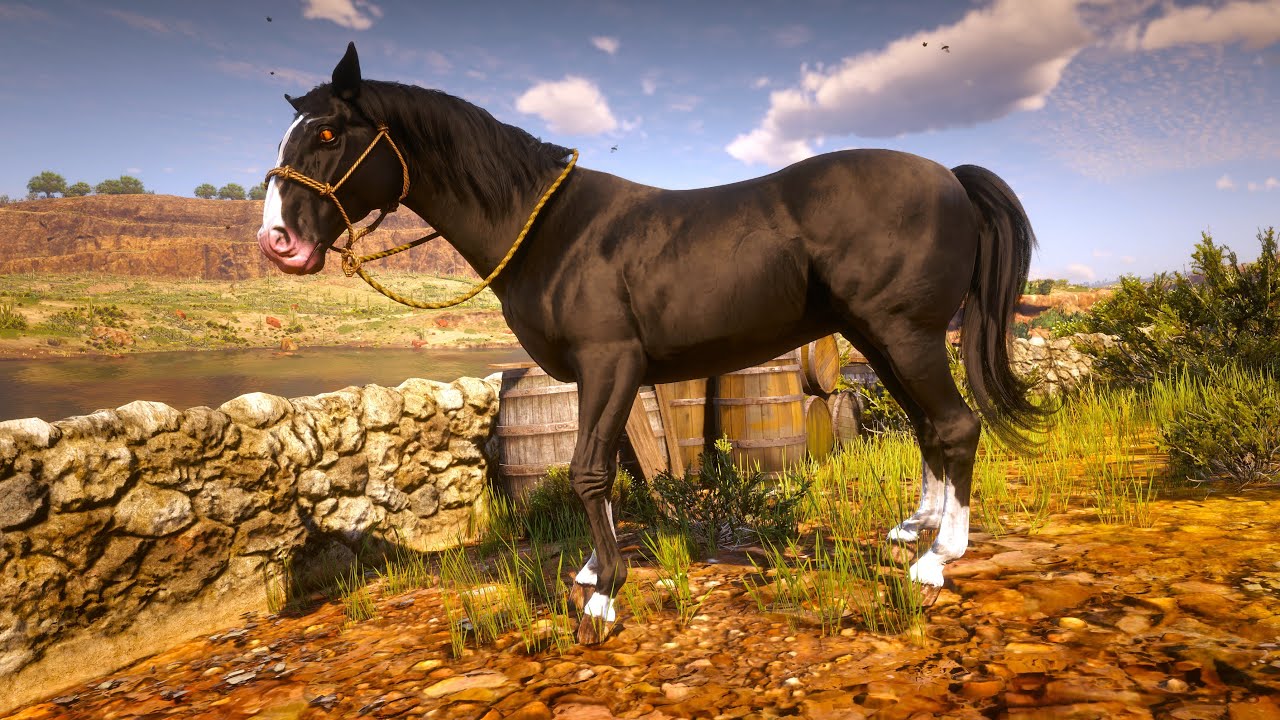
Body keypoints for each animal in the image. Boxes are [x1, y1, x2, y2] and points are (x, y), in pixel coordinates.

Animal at [257, 42, 1053, 643]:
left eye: (329, 135)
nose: (278, 242)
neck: (552, 230)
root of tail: (949, 178)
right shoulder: (594, 376)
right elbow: (601, 470)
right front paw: (590, 570)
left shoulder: (611, 361)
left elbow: (587, 472)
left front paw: (602, 599)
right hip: (881, 341)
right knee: (930, 429)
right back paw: (916, 530)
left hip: (903, 334)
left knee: (956, 427)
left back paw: (937, 561)